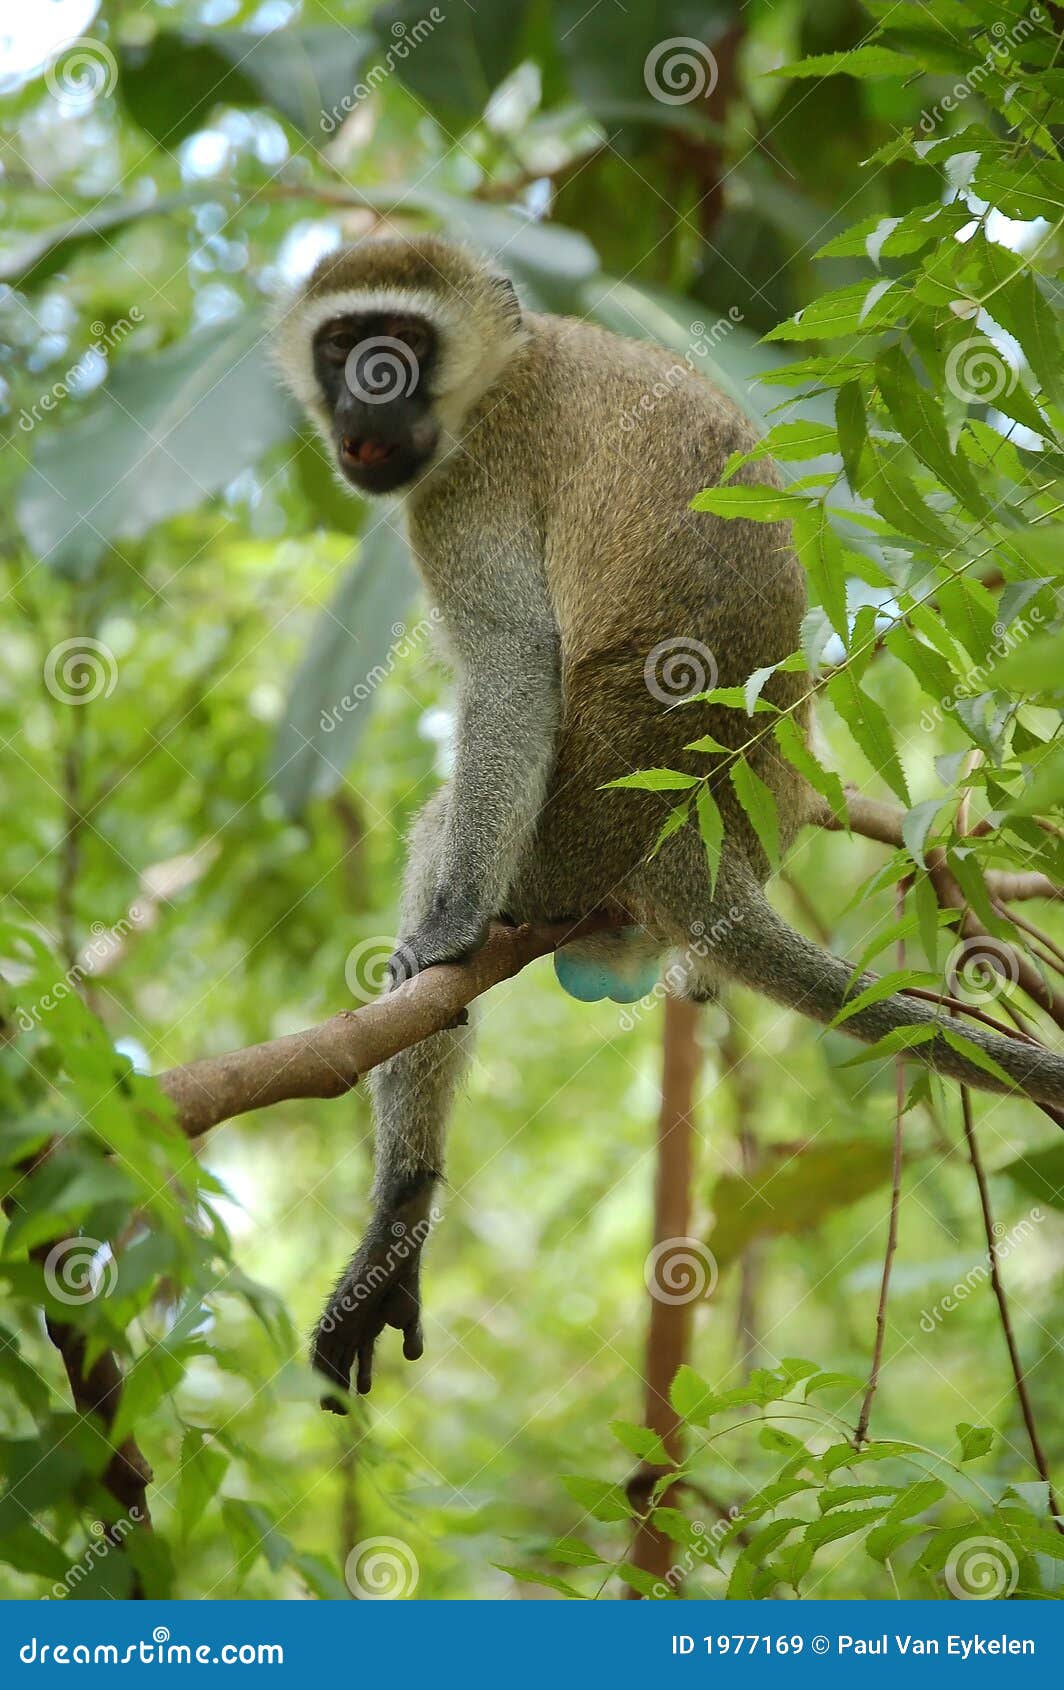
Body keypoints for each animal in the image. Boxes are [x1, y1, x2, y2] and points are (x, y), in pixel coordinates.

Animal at [274, 233, 1064, 1409]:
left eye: (399, 346)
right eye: (342, 348)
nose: (366, 395)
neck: (510, 366)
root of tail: (702, 848)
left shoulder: (464, 490)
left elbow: (515, 668)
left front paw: (449, 926)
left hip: (562, 842)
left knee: (451, 821)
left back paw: (402, 1198)